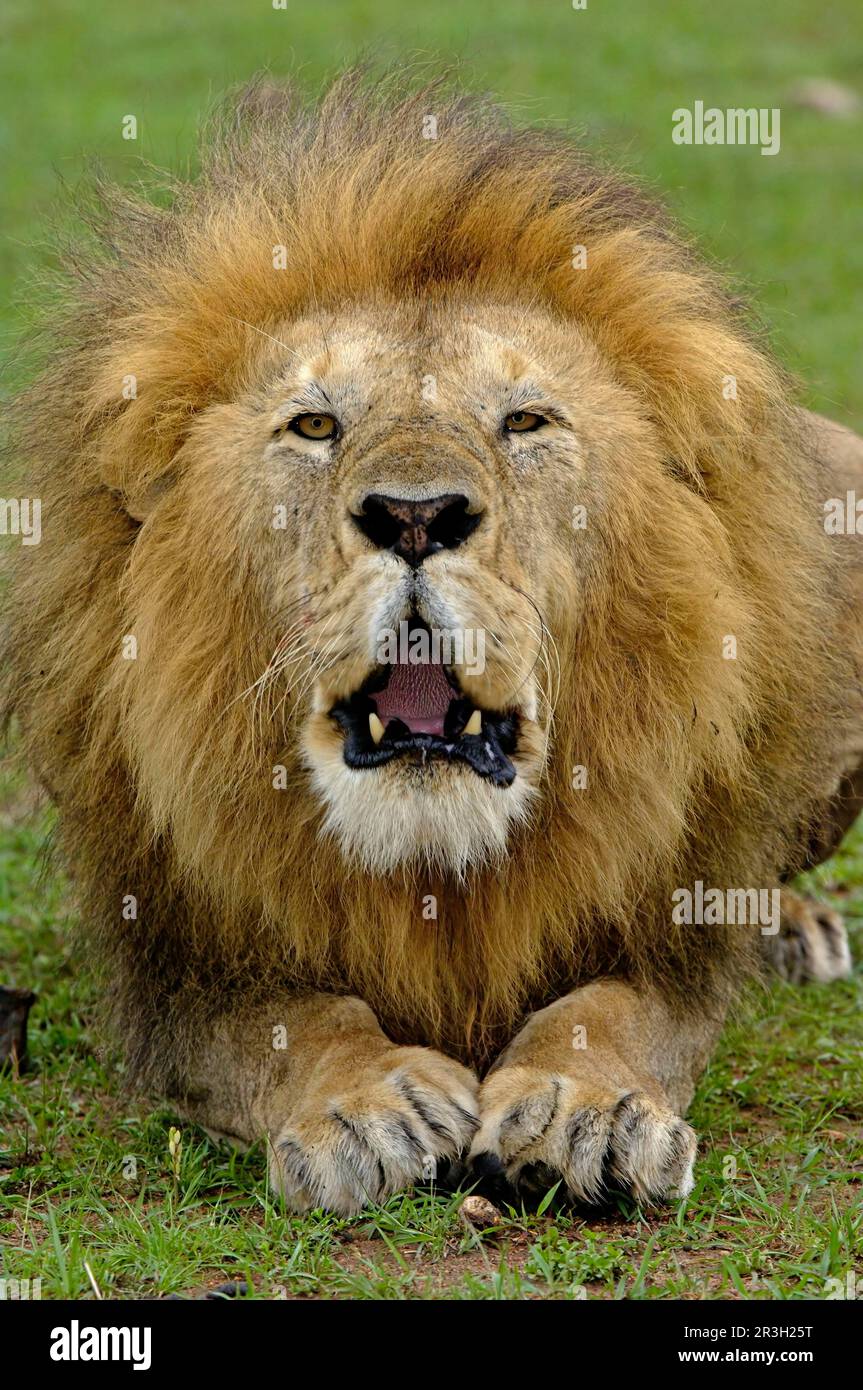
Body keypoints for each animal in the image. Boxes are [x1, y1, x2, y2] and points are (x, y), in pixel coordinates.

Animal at [2, 71, 861, 1215]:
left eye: (525, 421)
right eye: (314, 425)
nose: (414, 516)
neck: (431, 863)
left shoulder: (664, 936)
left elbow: (610, 1007)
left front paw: (583, 1111)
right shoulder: (179, 962)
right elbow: (294, 1021)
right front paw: (365, 1105)